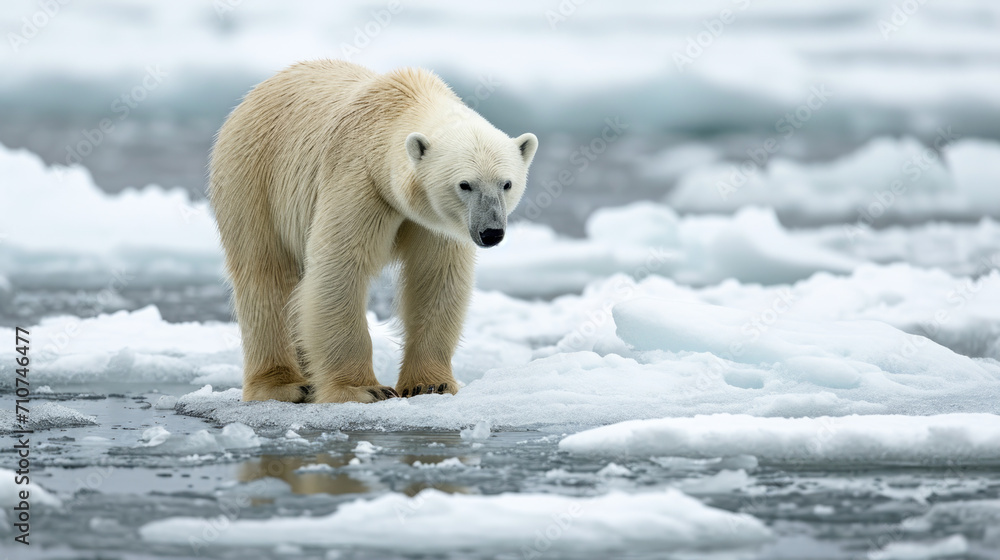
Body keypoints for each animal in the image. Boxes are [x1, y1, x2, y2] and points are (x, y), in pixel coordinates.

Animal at [209, 60, 538, 404]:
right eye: (465, 184)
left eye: (506, 183)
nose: (491, 232)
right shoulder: (360, 181)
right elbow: (340, 268)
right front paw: (363, 389)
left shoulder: (435, 222)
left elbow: (435, 277)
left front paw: (430, 384)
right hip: (254, 176)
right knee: (264, 273)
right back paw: (284, 385)